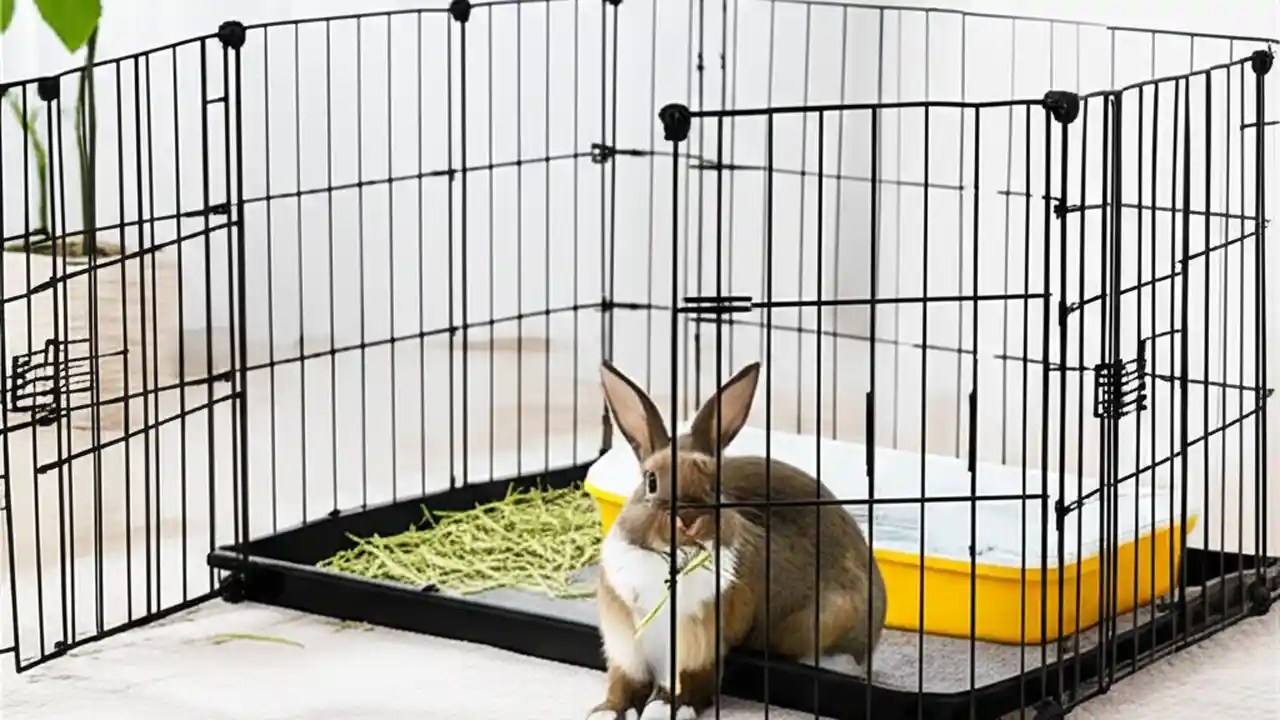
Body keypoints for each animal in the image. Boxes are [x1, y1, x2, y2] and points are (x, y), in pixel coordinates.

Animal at [586, 360, 887, 720]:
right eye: (651, 481)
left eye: (714, 484)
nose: (689, 518)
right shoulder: (626, 649)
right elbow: (622, 687)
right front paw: (605, 712)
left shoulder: (699, 649)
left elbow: (690, 687)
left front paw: (664, 709)